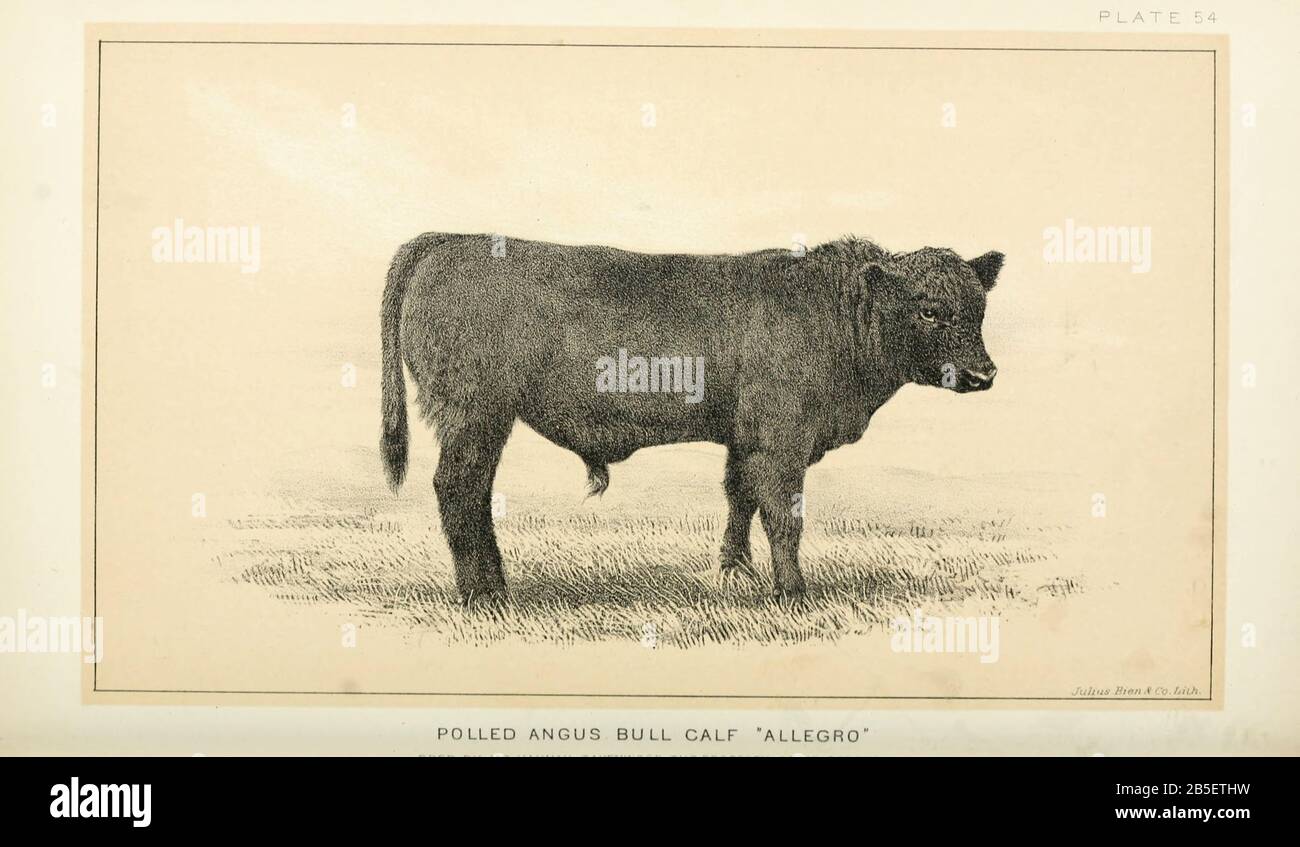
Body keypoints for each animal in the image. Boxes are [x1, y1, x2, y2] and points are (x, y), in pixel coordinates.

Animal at [380, 233, 1002, 603]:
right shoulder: (781, 442)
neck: (838, 310)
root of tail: (448, 240)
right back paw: (483, 595)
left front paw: (735, 572)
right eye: (929, 310)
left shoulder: (746, 440)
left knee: (472, 492)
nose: (983, 375)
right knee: (458, 489)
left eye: (978, 307)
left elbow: (739, 498)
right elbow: (784, 515)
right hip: (475, 415)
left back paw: (495, 589)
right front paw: (793, 593)